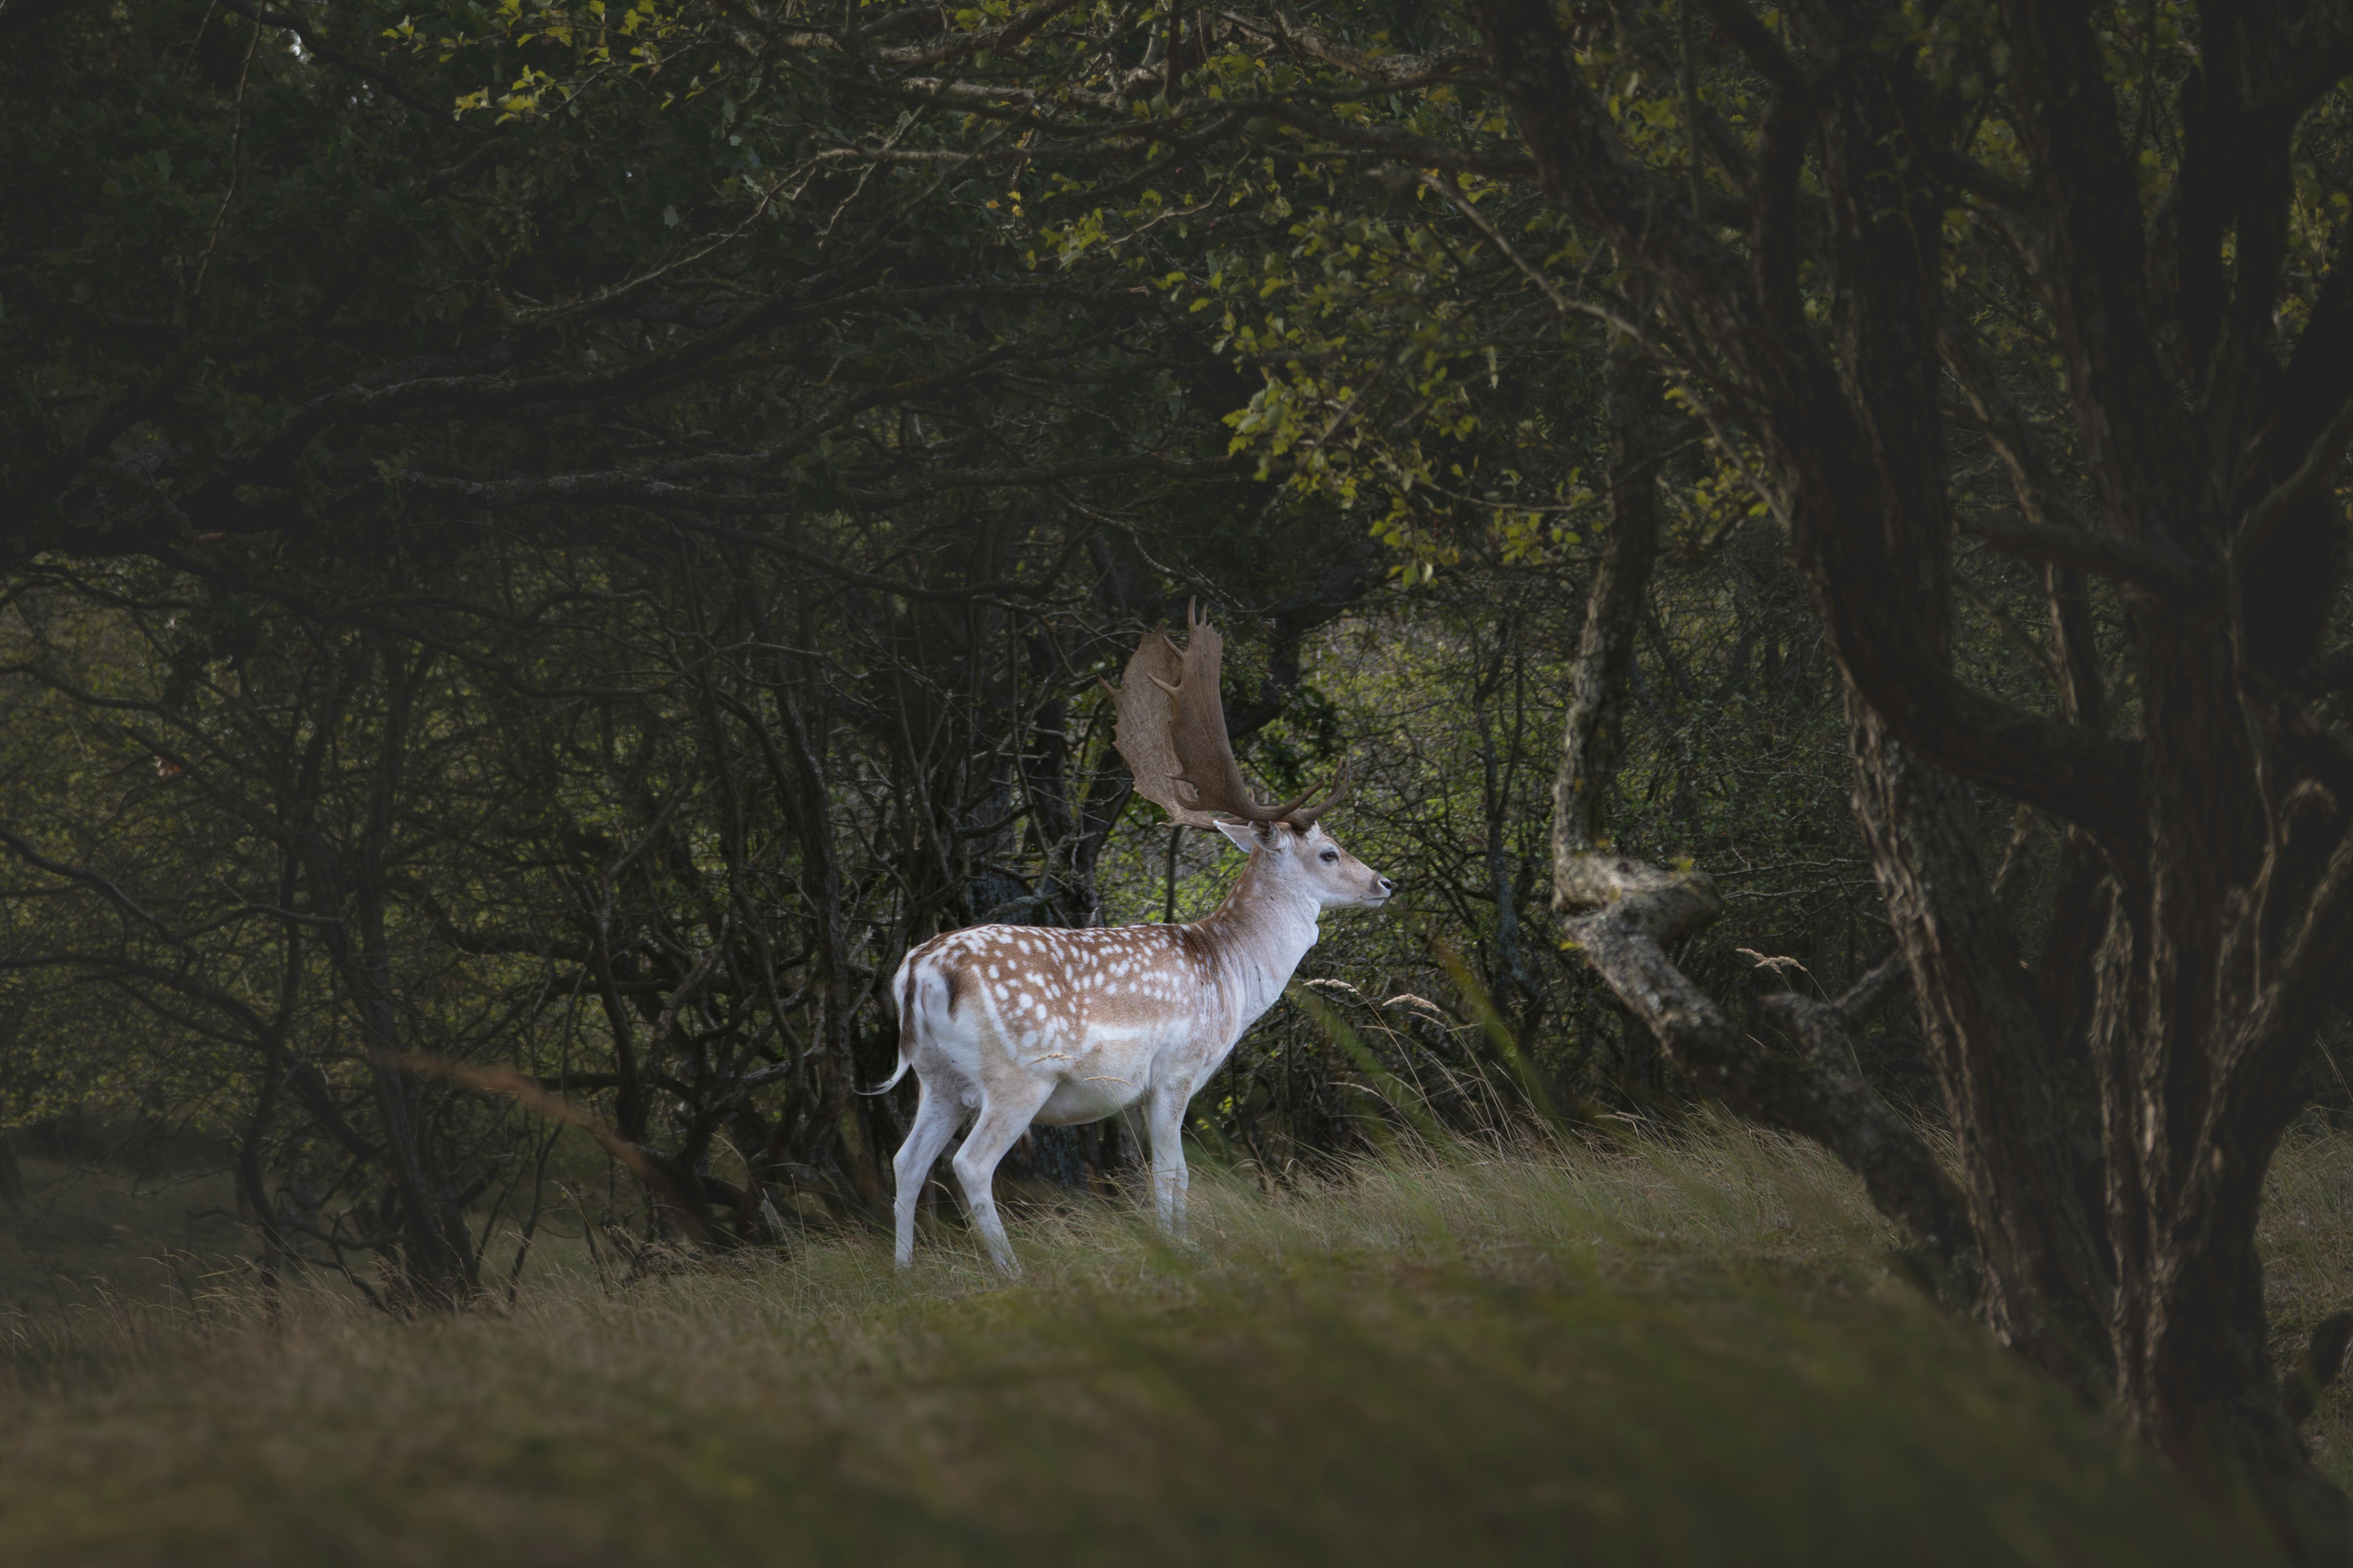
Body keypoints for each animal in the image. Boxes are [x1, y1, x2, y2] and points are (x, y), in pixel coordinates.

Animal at [875, 605, 1394, 1273]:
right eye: (1329, 852)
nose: (1383, 882)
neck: (1229, 974)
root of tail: (919, 972)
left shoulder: (1141, 1091)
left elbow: (1160, 1175)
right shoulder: (1175, 1070)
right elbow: (1174, 1174)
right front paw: (1184, 1251)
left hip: (936, 1078)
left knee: (906, 1161)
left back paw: (904, 1272)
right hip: (1018, 1074)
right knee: (969, 1164)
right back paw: (1013, 1271)